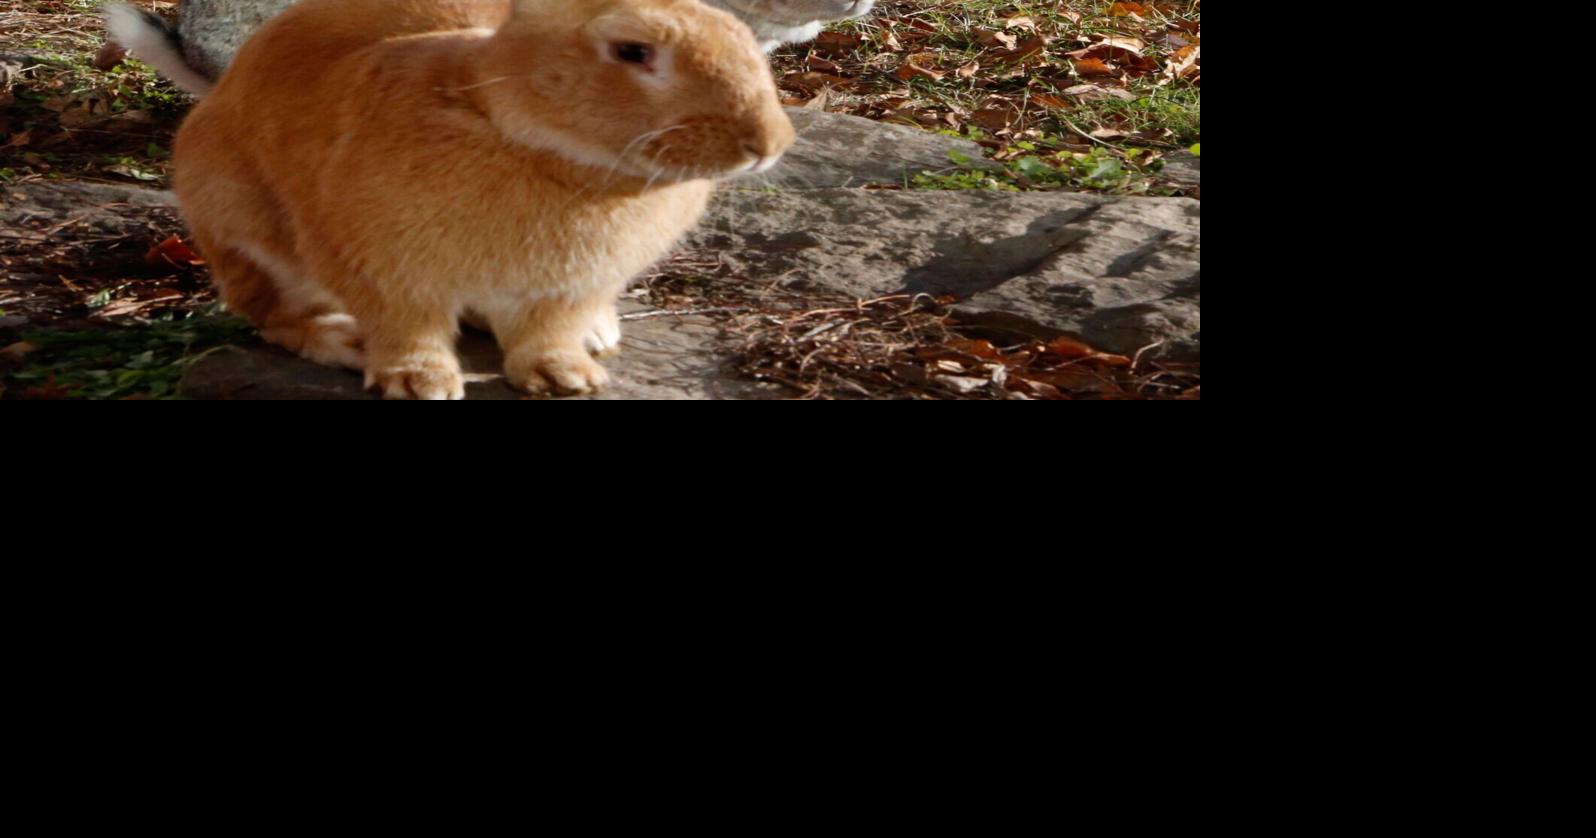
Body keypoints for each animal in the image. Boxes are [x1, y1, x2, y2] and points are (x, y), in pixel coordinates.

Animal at [160, 0, 794, 399]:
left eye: (742, 39)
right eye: (633, 50)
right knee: (272, 311)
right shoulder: (384, 272)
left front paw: (566, 378)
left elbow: (545, 335)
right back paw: (345, 340)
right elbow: (407, 327)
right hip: (246, 230)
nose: (768, 143)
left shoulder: (566, 289)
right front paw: (418, 383)